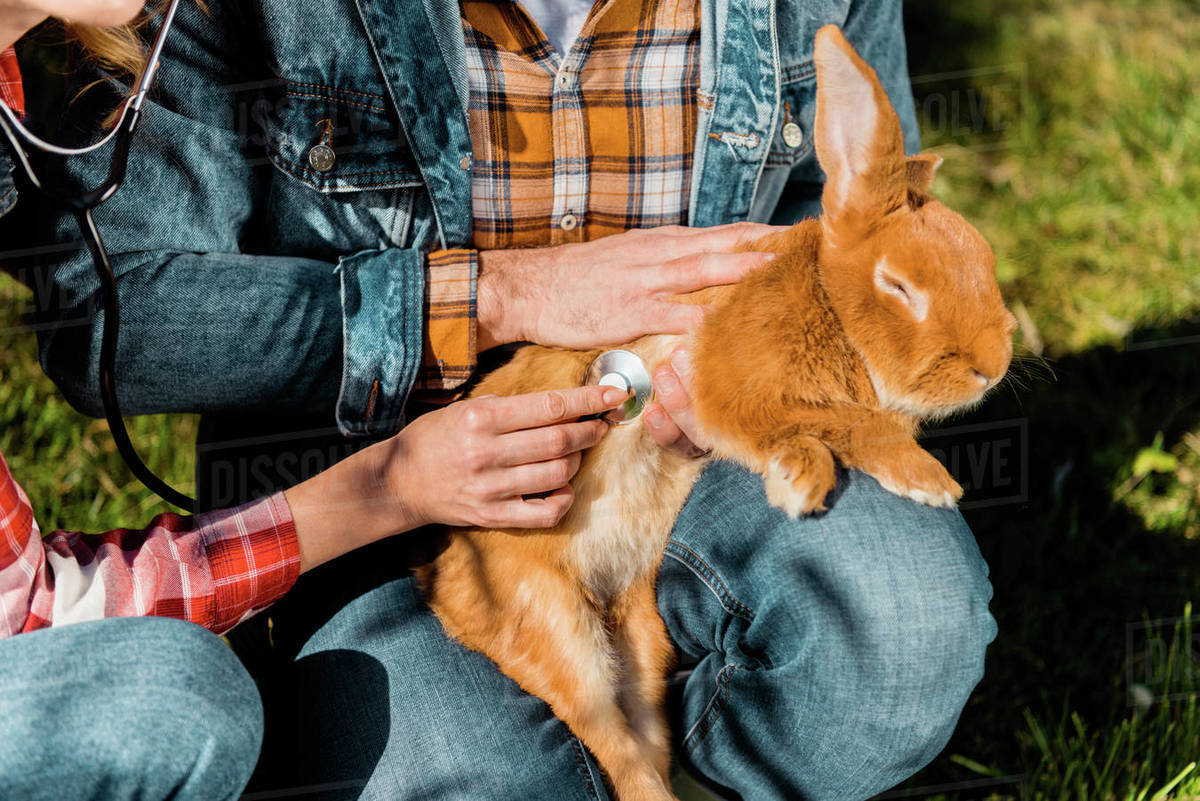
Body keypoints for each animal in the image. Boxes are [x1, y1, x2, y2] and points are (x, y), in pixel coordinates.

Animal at [416, 24, 1017, 801]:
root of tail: (439, 581)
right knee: (613, 746)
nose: (991, 366)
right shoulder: (727, 387)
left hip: (637, 639)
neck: (828, 302)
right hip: (553, 623)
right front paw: (889, 480)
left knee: (644, 735)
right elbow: (848, 421)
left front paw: (803, 476)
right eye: (898, 287)